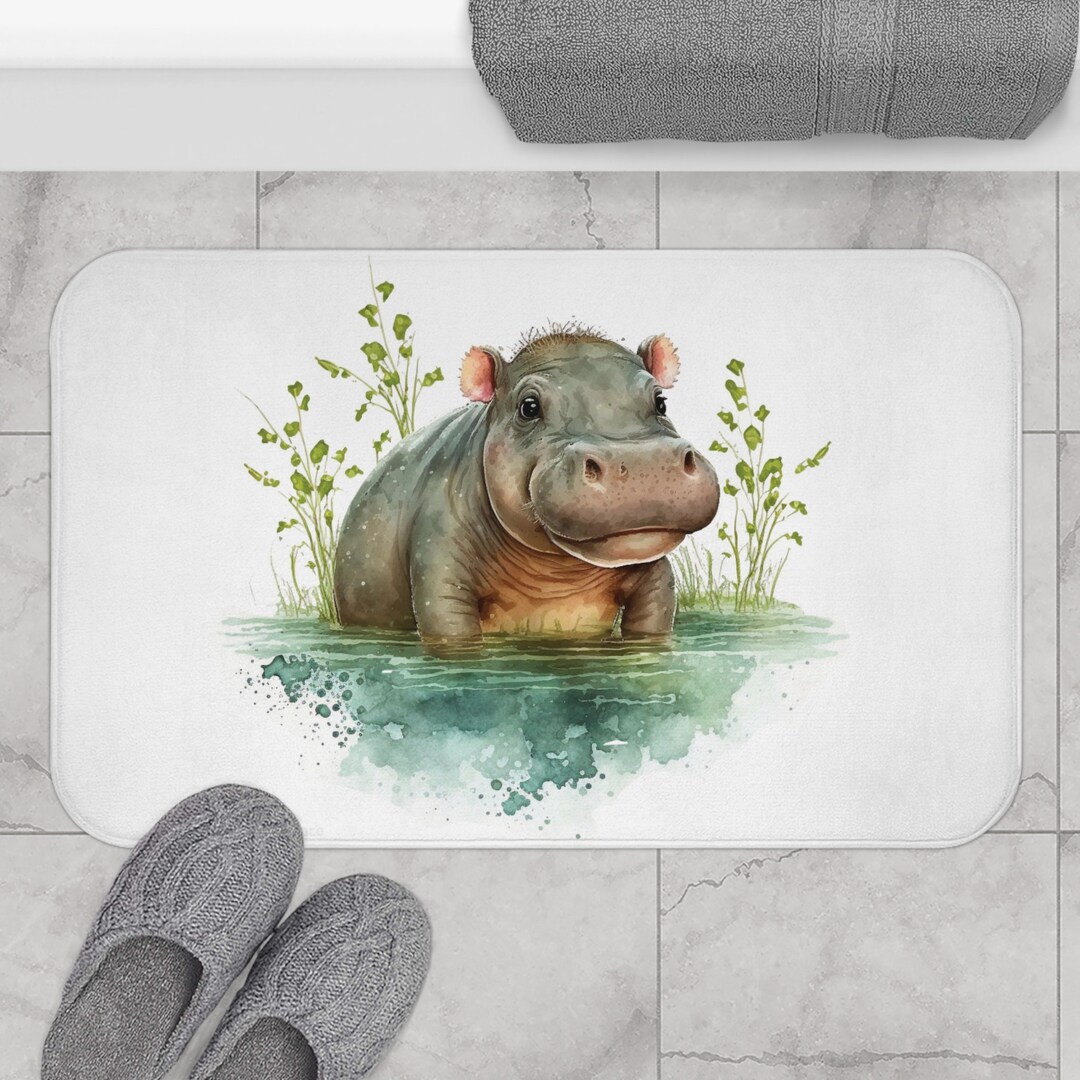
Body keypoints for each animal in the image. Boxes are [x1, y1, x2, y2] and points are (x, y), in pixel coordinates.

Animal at [333, 328, 720, 646]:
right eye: (529, 407)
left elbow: (654, 616)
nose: (642, 464)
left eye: (661, 401)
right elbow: (450, 627)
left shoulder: (655, 576)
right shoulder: (439, 562)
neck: (558, 573)